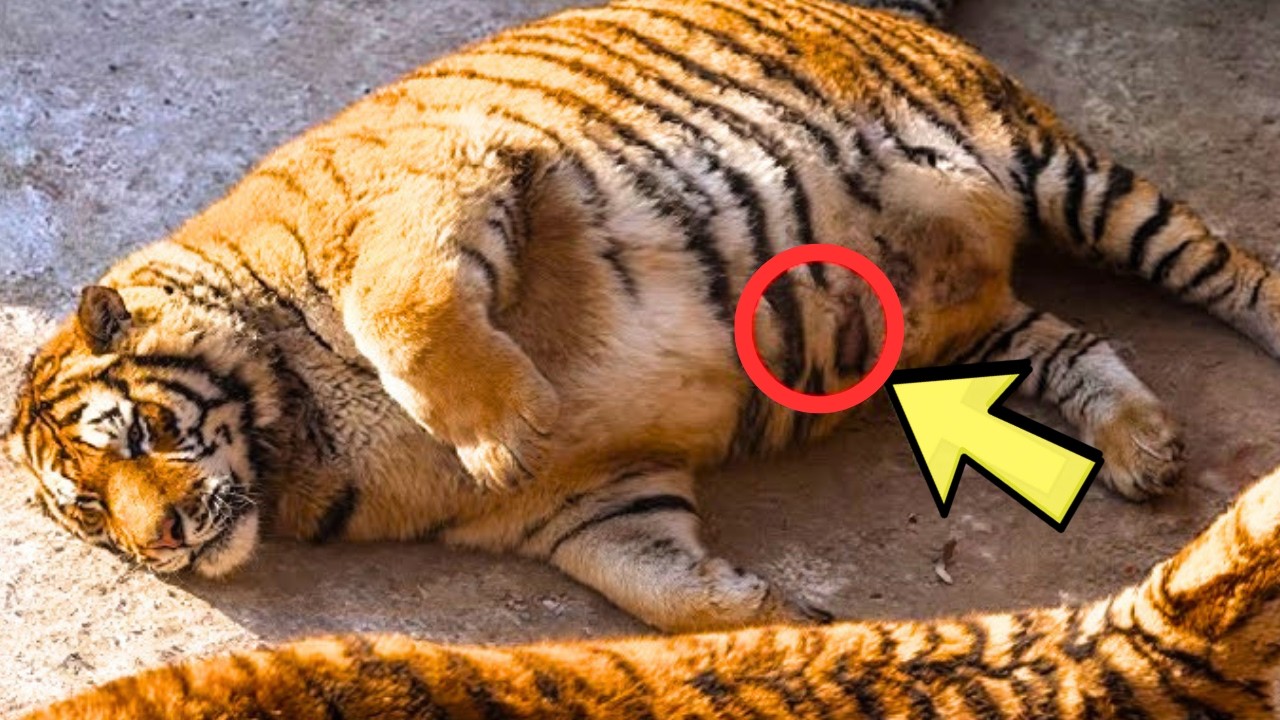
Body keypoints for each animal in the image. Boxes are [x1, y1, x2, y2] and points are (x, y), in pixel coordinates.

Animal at [7, 0, 1280, 634]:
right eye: (92, 507)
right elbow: (649, 585)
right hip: (959, 340)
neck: (300, 450)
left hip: (1057, 172)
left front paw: (502, 424)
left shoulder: (432, 191)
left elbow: (405, 312)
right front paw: (757, 606)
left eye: (144, 436)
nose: (161, 542)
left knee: (1222, 266)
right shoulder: (586, 504)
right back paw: (1143, 450)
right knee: (1071, 344)